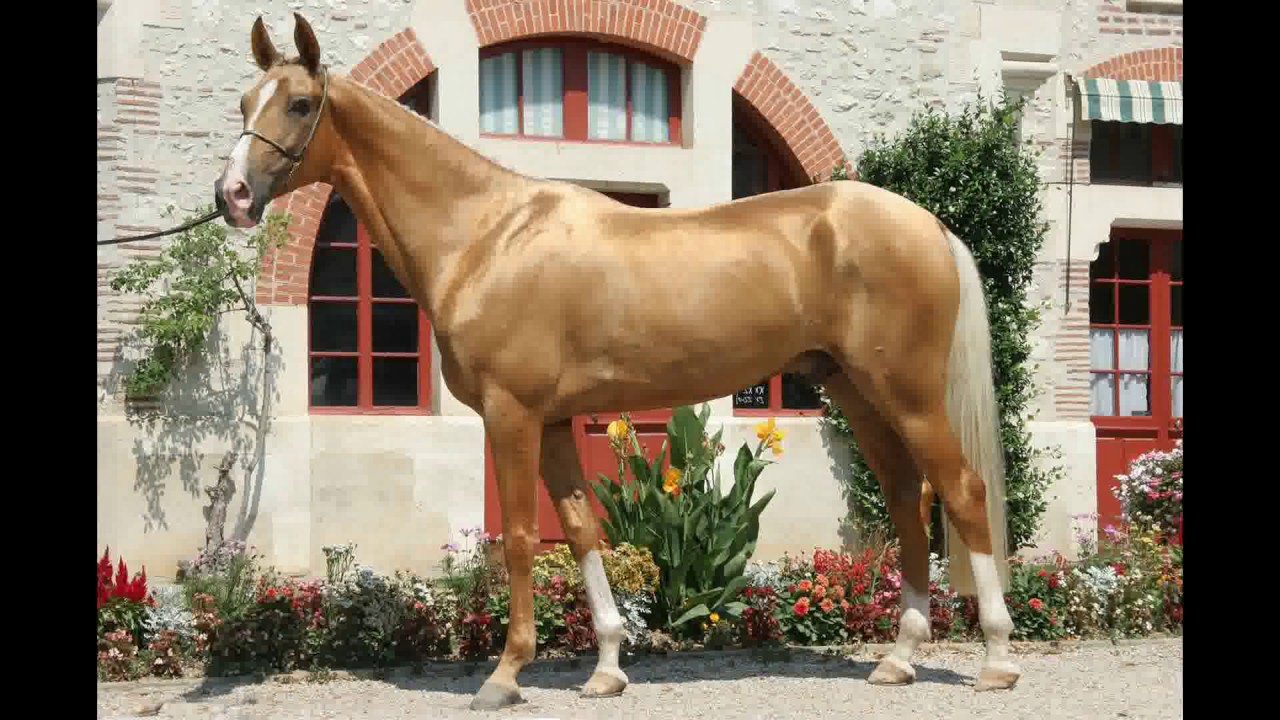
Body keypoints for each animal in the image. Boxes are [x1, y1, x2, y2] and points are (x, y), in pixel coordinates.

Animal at [213, 13, 1020, 710]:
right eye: (246, 101)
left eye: (299, 103)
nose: (233, 195)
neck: (486, 236)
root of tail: (928, 224)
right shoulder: (554, 422)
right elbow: (579, 531)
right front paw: (605, 668)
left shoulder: (512, 415)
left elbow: (518, 538)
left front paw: (505, 675)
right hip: (855, 391)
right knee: (909, 498)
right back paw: (899, 658)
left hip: (907, 392)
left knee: (962, 490)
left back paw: (997, 658)